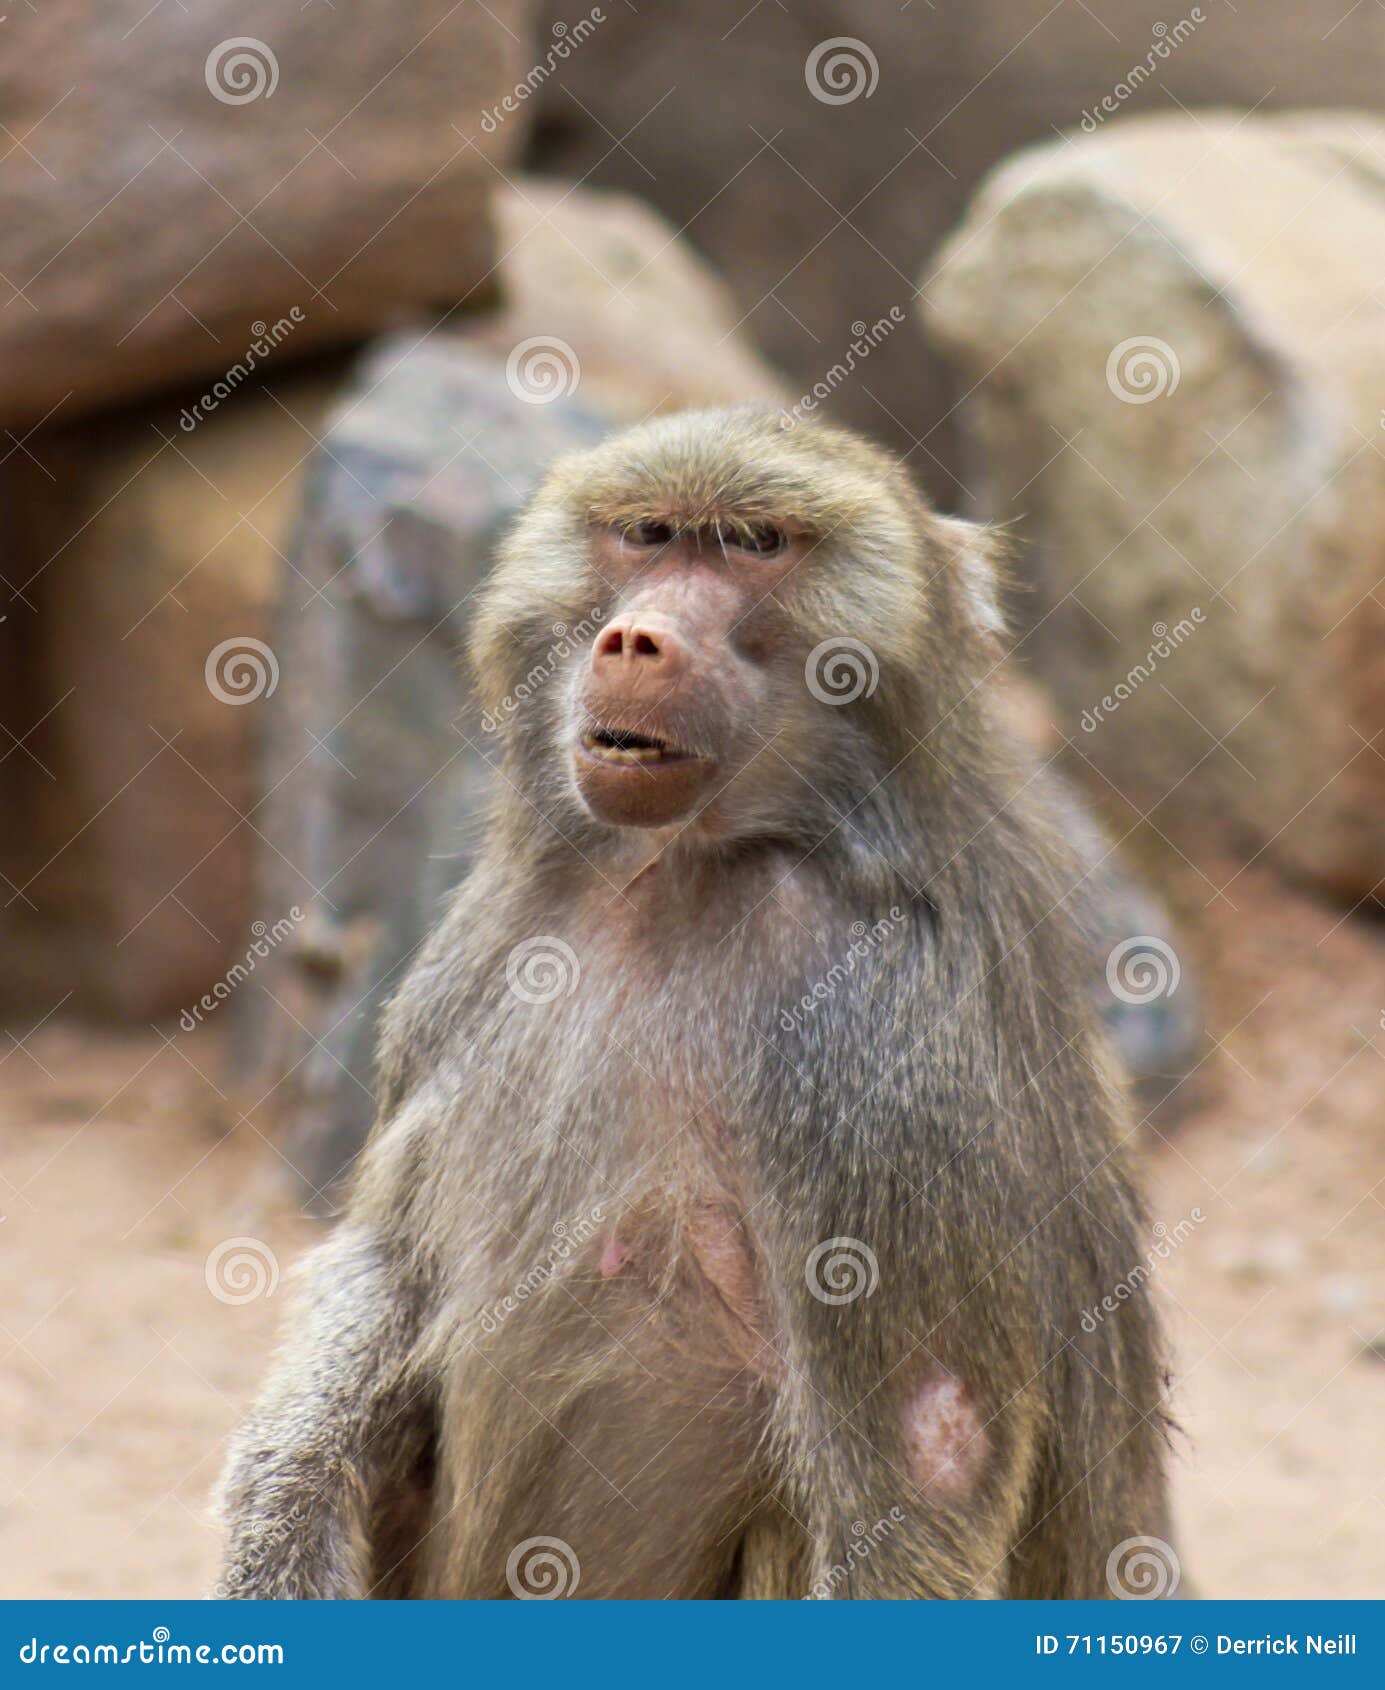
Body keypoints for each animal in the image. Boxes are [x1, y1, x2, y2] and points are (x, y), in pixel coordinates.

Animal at [217, 405, 1170, 1600]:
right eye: (646, 533)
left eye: (756, 545)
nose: (637, 640)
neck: (680, 870)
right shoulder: (481, 948)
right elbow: (387, 1258)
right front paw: (280, 1518)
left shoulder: (878, 1037)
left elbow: (919, 1481)